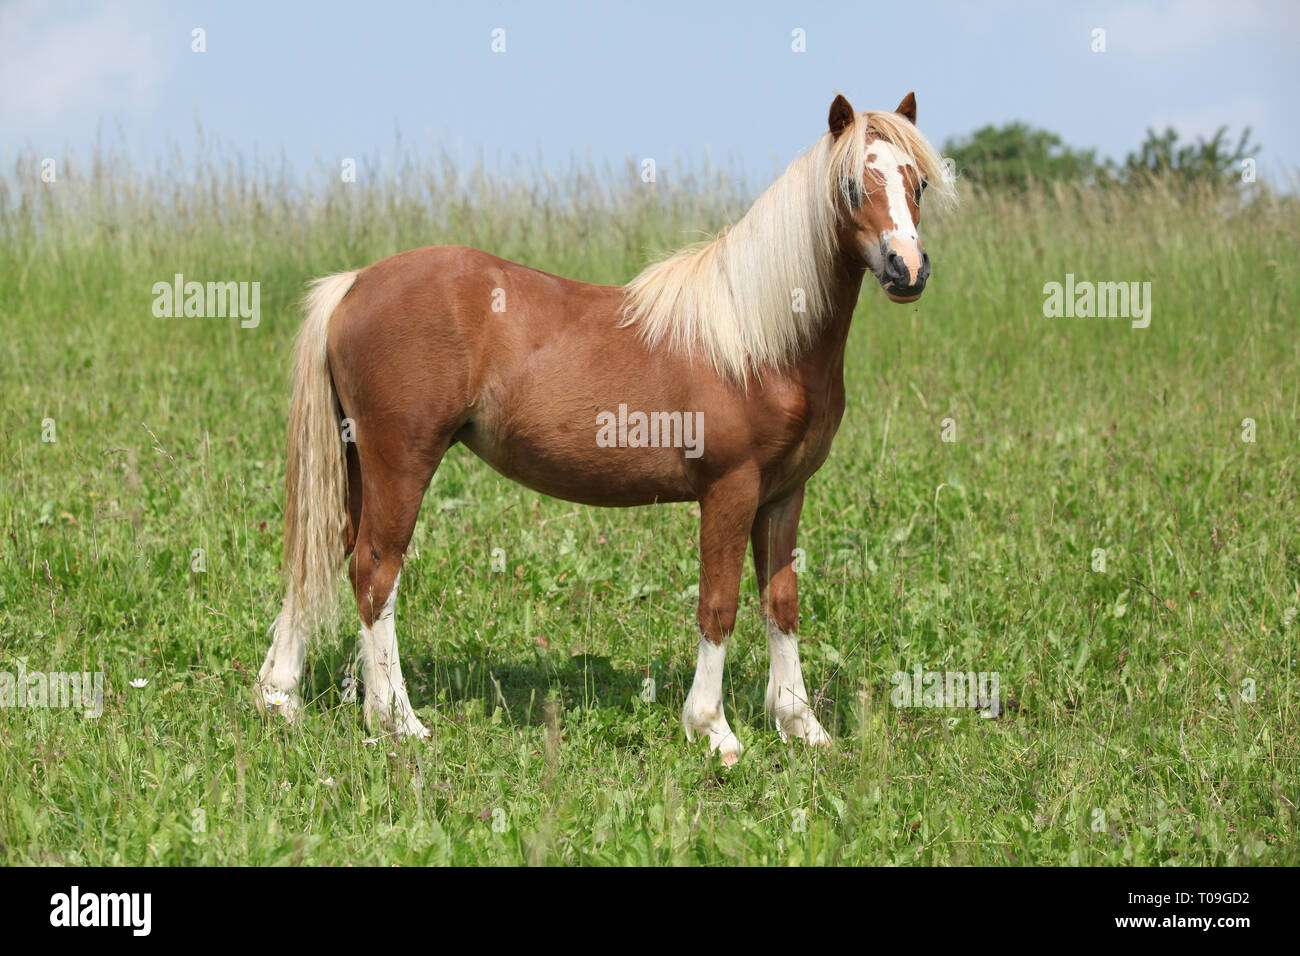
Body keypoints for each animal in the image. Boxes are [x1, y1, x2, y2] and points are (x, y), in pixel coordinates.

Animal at [255, 93, 956, 763]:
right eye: (851, 186)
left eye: (918, 181)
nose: (907, 269)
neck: (757, 338)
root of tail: (352, 285)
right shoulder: (730, 490)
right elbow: (719, 605)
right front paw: (714, 731)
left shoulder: (784, 494)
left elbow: (780, 604)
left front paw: (801, 726)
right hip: (402, 461)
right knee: (376, 572)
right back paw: (399, 721)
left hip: (357, 464)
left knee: (326, 552)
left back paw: (282, 698)